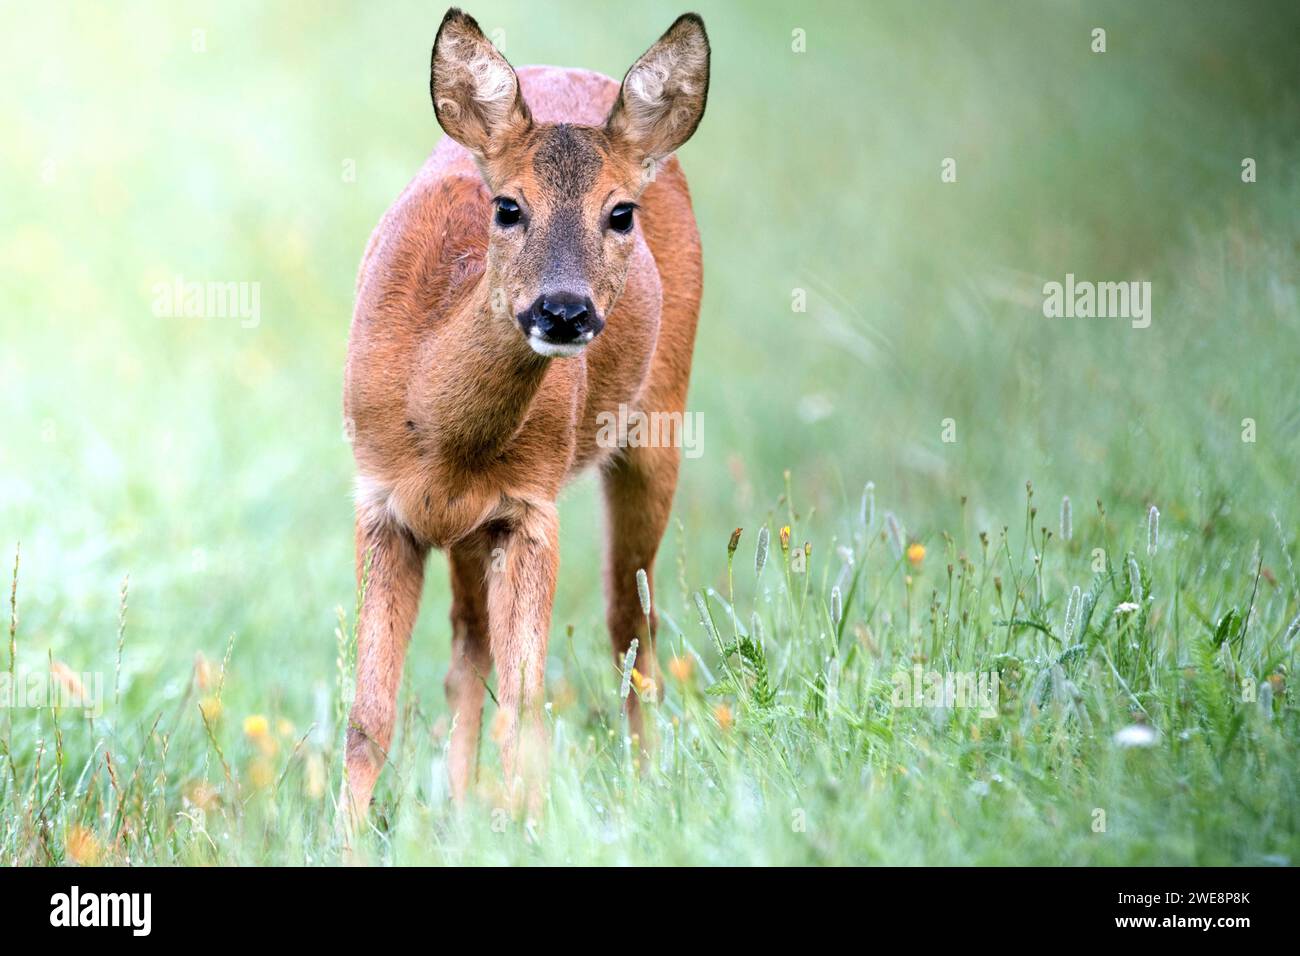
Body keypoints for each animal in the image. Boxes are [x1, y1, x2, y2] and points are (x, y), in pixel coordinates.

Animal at [341, 8, 709, 827]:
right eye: (508, 206)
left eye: (620, 213)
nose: (563, 310)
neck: (439, 432)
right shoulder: (381, 502)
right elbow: (369, 717)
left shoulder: (531, 507)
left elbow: (527, 706)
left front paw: (528, 829)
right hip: (466, 531)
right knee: (466, 654)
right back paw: (461, 809)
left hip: (657, 425)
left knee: (630, 628)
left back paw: (644, 788)